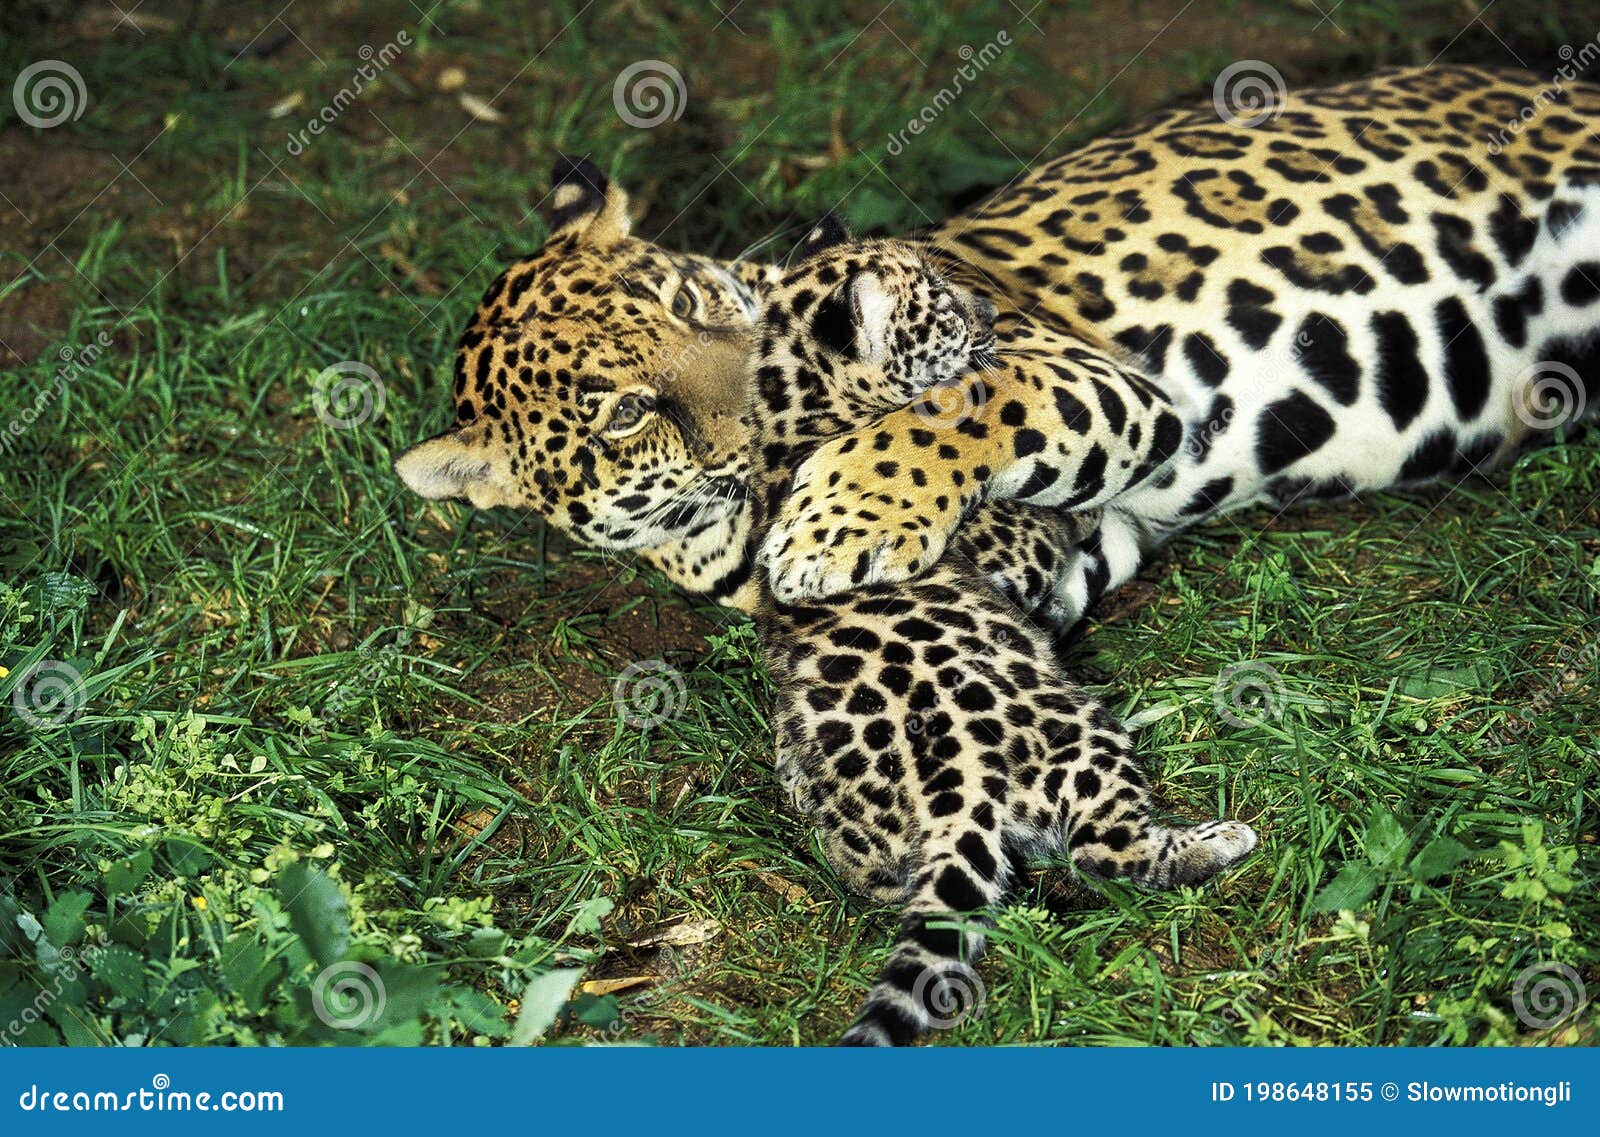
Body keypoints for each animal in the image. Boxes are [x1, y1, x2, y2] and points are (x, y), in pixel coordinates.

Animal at [396, 65, 1600, 630]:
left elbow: (950, 408)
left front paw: (841, 519)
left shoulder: (1090, 373)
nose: (759, 412)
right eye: (623, 415)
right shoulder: (1079, 549)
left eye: (693, 299)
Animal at [746, 217, 1256, 1046]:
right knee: (1111, 854)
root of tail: (955, 794)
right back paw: (1218, 841)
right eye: (942, 306)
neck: (784, 417)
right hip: (1084, 740)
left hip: (873, 849)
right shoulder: (1019, 543)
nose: (988, 312)